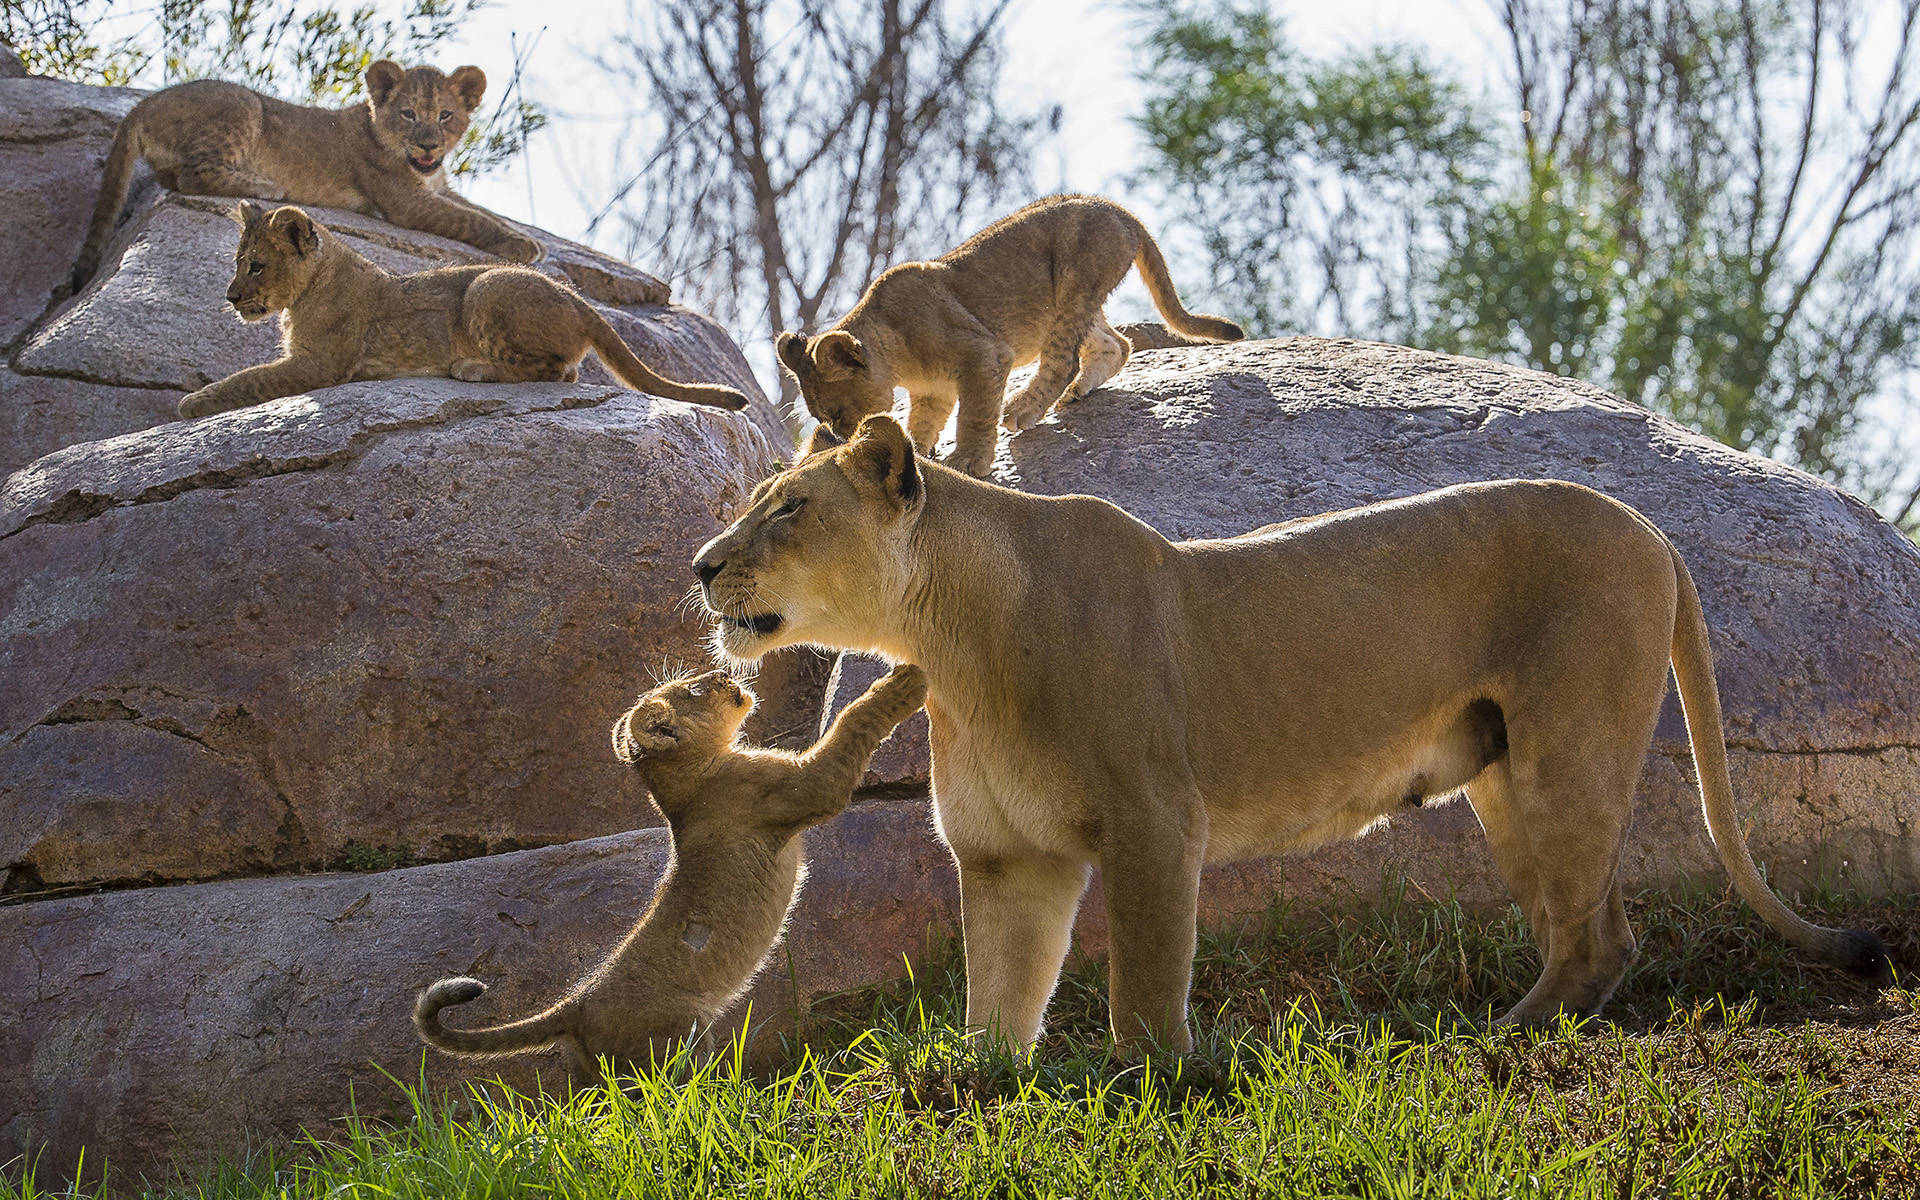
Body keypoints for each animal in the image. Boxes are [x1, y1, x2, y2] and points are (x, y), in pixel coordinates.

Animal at [71, 60, 544, 291]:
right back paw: (266, 185)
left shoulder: (438, 185)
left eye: (445, 115)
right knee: (190, 176)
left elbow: (482, 210)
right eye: (409, 114)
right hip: (246, 104)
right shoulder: (404, 202)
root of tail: (144, 103)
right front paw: (523, 246)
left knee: (174, 179)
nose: (429, 146)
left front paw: (526, 236)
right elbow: (470, 219)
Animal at [175, 203, 747, 419]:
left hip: (485, 287)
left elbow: (247, 379)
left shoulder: (319, 364)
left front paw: (190, 403)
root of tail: (583, 302)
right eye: (237, 262)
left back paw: (471, 368)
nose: (230, 297)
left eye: (256, 266)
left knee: (557, 371)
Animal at [414, 663, 929, 1081]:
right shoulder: (800, 787)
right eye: (694, 690)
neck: (683, 782)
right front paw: (904, 682)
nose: (724, 673)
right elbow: (851, 723)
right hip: (680, 1041)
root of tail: (577, 1004)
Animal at [689, 415, 1891, 1055]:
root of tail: (1655, 529)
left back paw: (1497, 1040)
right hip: (1505, 778)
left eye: (789, 508)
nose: (701, 564)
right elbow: (999, 1004)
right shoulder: (1006, 859)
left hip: (1571, 753)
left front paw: (1146, 1081)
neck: (951, 646)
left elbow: (1143, 985)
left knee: (1598, 937)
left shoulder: (1154, 820)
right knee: (1593, 926)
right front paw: (985, 1092)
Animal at [775, 195, 1243, 478]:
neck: (897, 358)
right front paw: (917, 454)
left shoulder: (984, 354)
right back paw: (1077, 392)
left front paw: (967, 461)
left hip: (1075, 275)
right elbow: (922, 423)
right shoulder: (932, 391)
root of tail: (1118, 208)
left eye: (839, 414)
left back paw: (1025, 408)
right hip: (1073, 300)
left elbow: (975, 413)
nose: (839, 441)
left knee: (1064, 359)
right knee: (1117, 344)